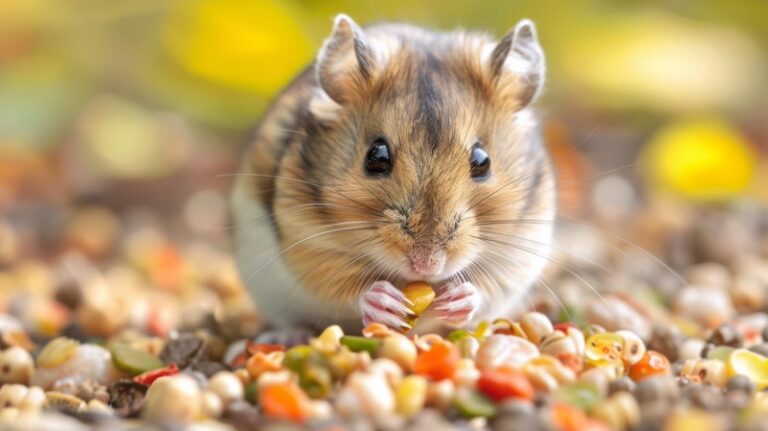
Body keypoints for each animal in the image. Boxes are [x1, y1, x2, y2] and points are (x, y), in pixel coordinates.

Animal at [231, 14, 555, 333]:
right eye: (376, 156)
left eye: (483, 161)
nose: (426, 265)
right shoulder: (307, 241)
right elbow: (341, 284)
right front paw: (385, 302)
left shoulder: (520, 251)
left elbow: (489, 285)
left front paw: (459, 299)